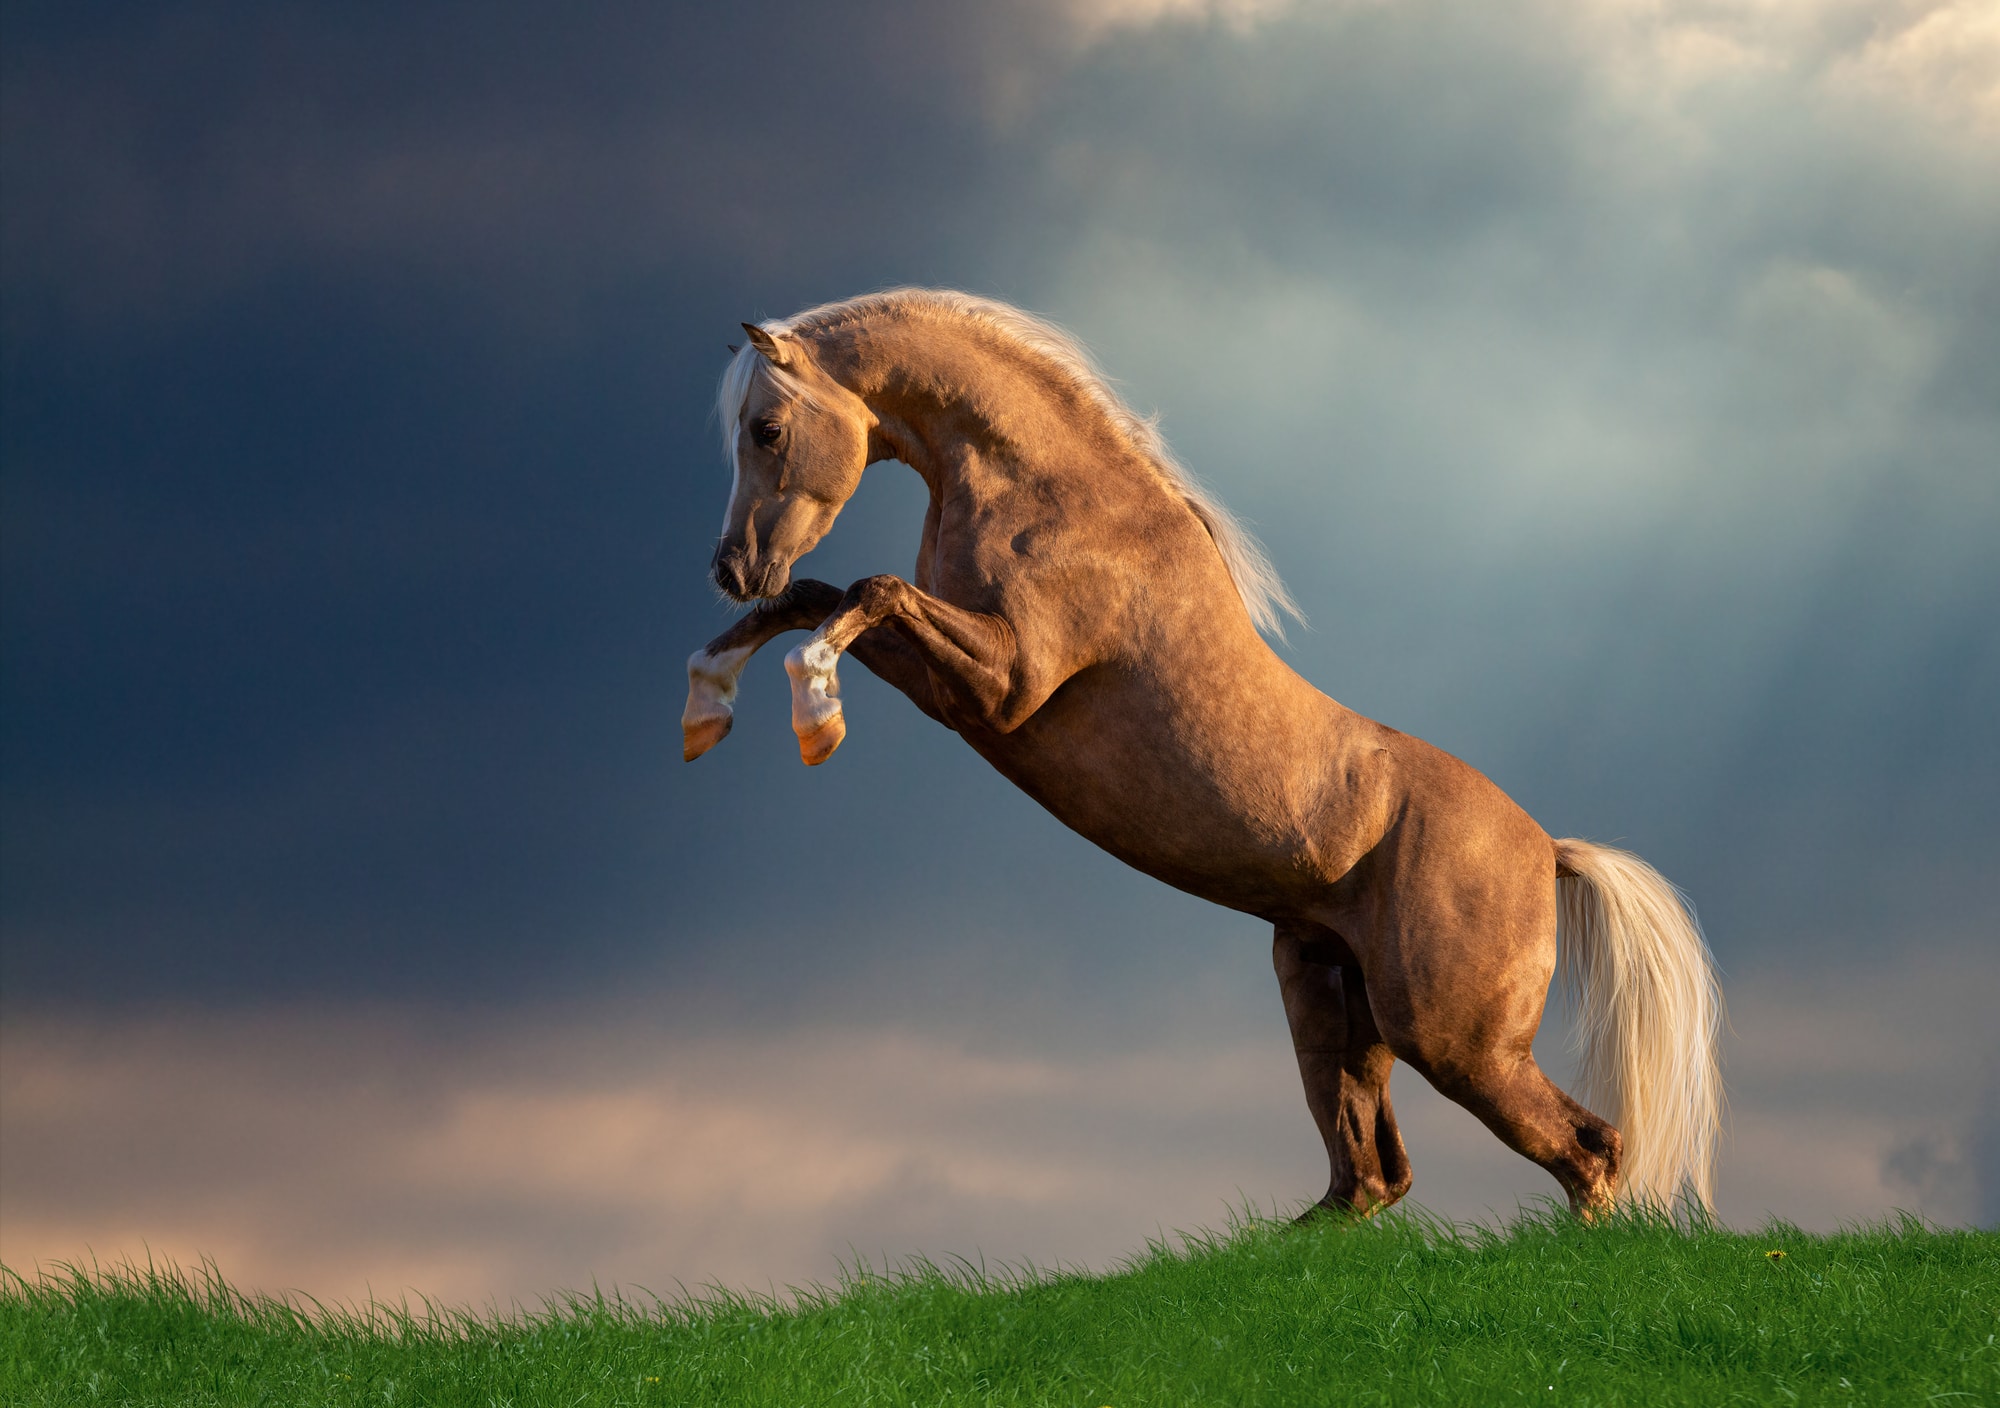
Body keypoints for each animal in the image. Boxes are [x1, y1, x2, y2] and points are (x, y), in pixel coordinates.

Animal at [682, 288, 1723, 1218]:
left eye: (767, 430)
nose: (732, 567)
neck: (1054, 500)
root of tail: (1547, 849)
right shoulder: (955, 689)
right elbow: (817, 595)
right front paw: (707, 707)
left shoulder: (1003, 685)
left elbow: (867, 591)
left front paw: (815, 715)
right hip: (1329, 997)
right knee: (1370, 1177)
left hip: (1456, 1037)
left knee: (1586, 1149)